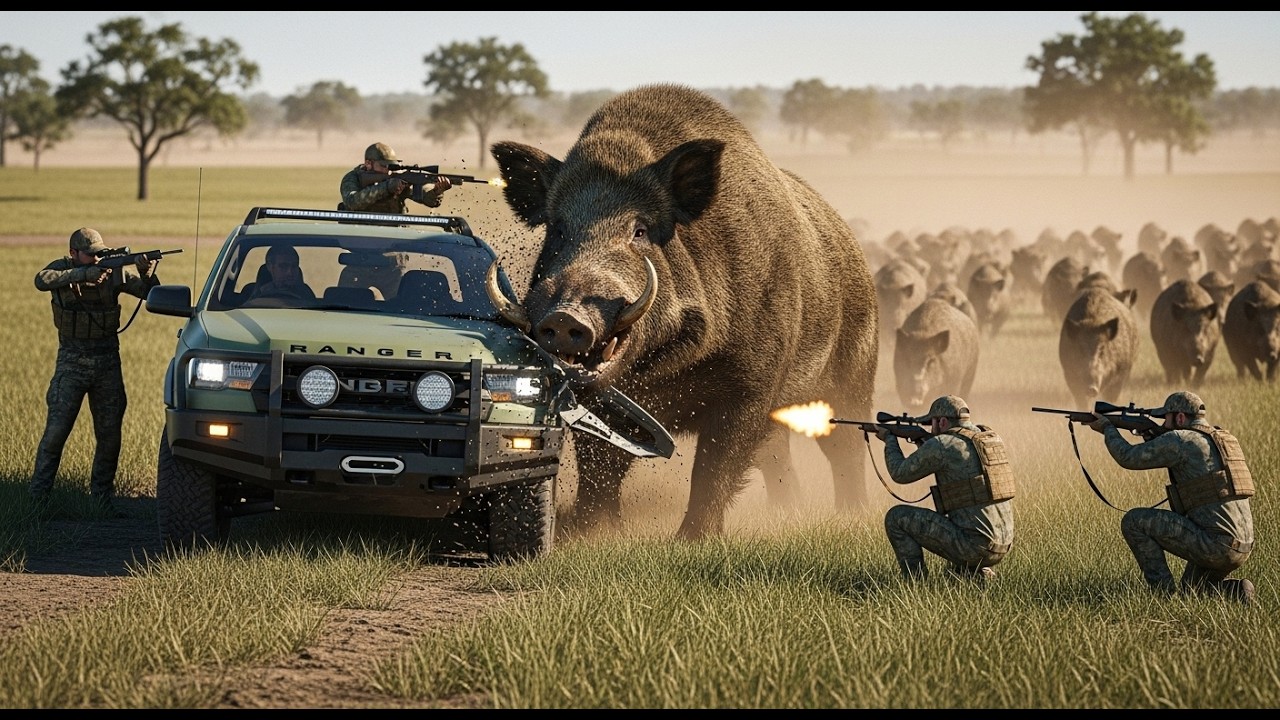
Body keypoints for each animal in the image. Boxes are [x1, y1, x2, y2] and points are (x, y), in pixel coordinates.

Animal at [488, 84, 878, 540]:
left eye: (640, 230)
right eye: (558, 230)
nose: (565, 317)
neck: (663, 372)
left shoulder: (752, 386)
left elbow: (714, 465)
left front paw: (694, 539)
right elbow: (600, 463)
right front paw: (592, 533)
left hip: (855, 375)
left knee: (845, 448)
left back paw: (852, 517)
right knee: (778, 453)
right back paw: (789, 513)